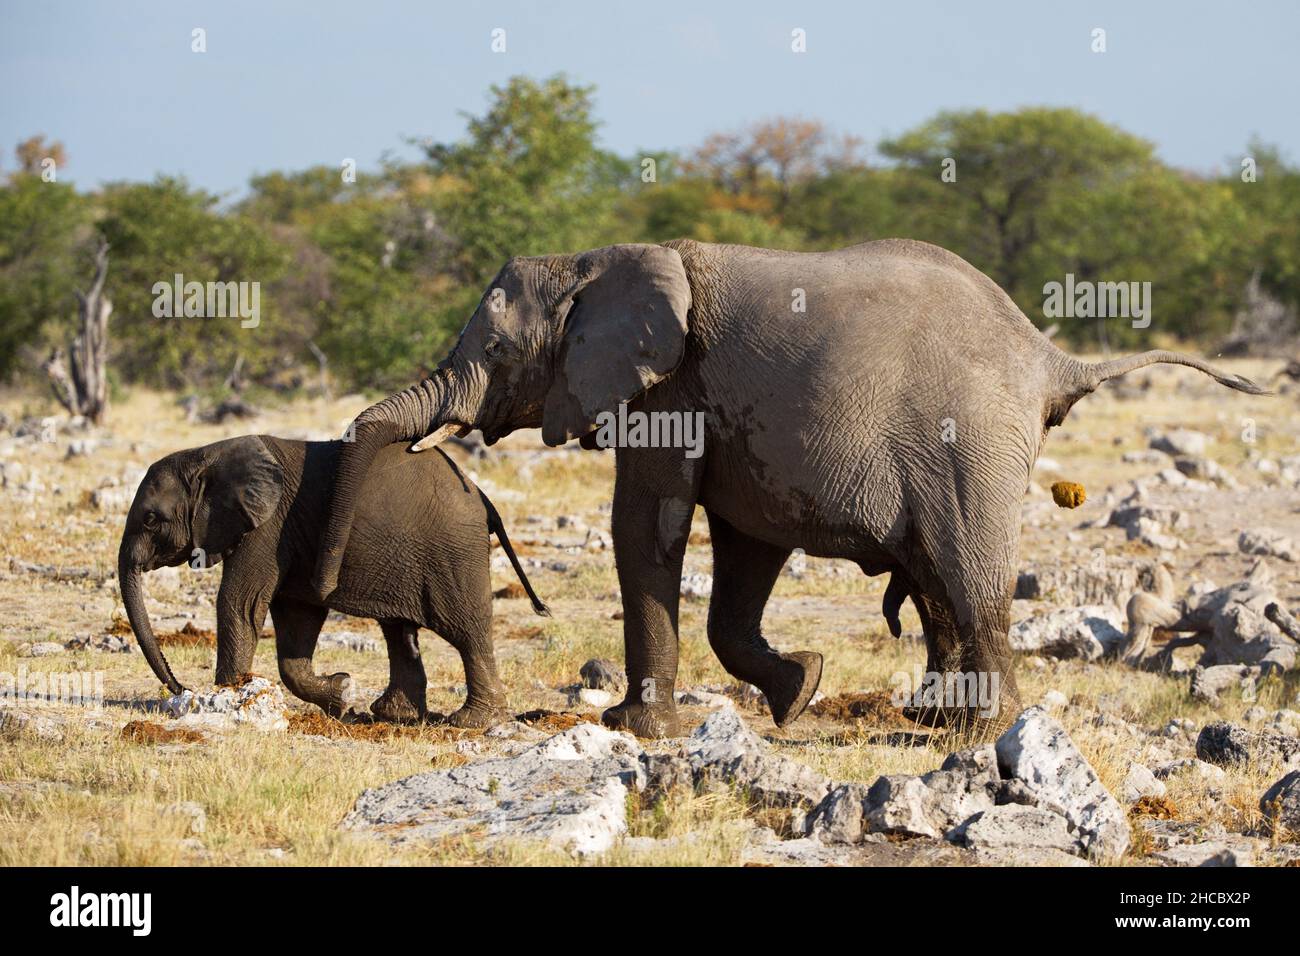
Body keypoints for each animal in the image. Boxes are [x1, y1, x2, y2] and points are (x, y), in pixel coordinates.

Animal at [119, 434, 547, 725]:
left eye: (151, 519)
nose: (182, 689)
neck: (206, 455)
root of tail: (481, 495)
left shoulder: (268, 527)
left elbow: (240, 602)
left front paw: (226, 699)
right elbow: (297, 619)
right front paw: (341, 694)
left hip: (454, 553)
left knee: (467, 631)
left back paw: (471, 722)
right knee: (399, 630)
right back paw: (392, 714)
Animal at [310, 239, 1263, 738]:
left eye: (499, 353)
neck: (593, 259)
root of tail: (1046, 353)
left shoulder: (670, 390)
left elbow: (646, 527)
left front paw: (630, 731)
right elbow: (744, 551)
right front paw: (800, 689)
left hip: (971, 440)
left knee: (968, 574)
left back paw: (985, 735)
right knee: (937, 581)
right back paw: (938, 723)